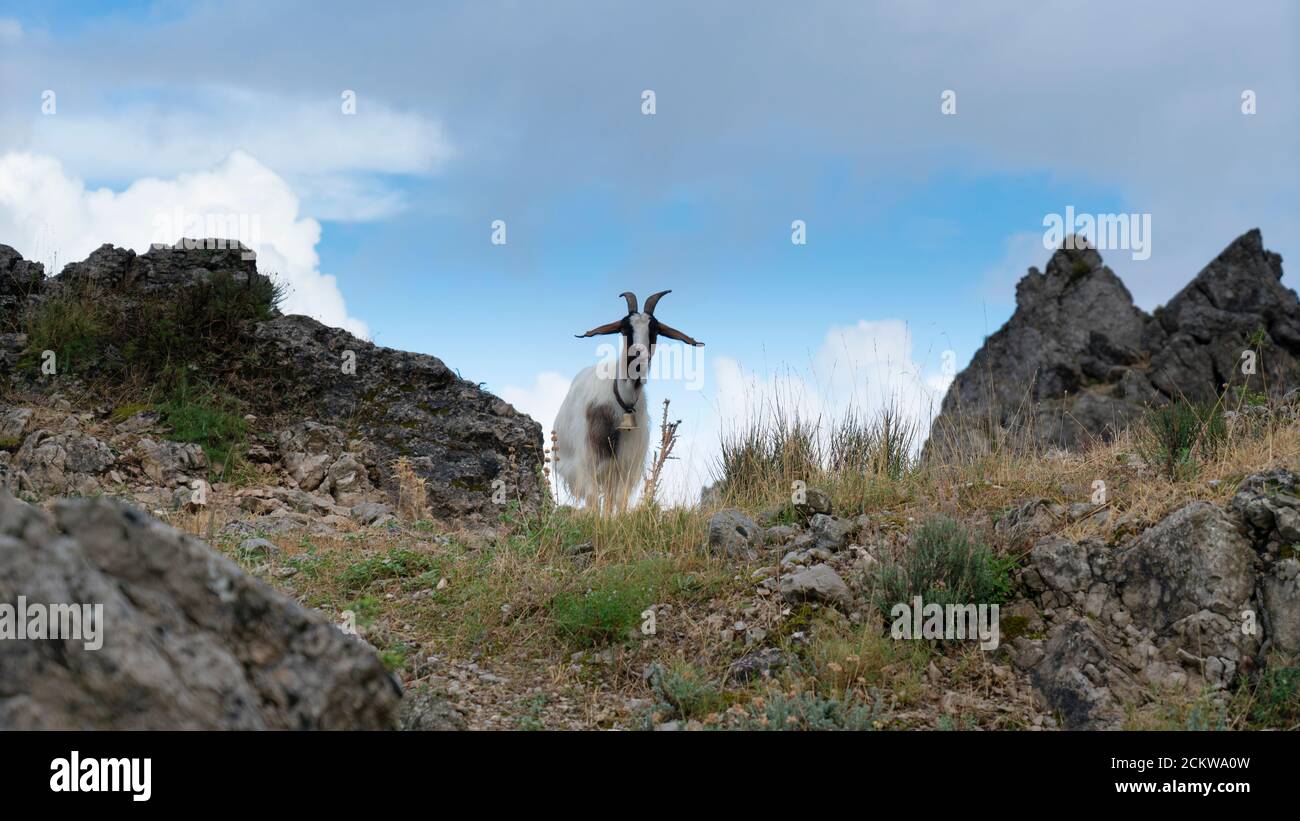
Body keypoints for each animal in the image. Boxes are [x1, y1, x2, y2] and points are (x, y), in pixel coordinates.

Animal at [553, 290, 703, 513]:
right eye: (624, 328)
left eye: (655, 329)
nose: (638, 364)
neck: (620, 401)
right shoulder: (587, 461)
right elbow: (593, 500)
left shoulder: (625, 463)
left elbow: (618, 501)